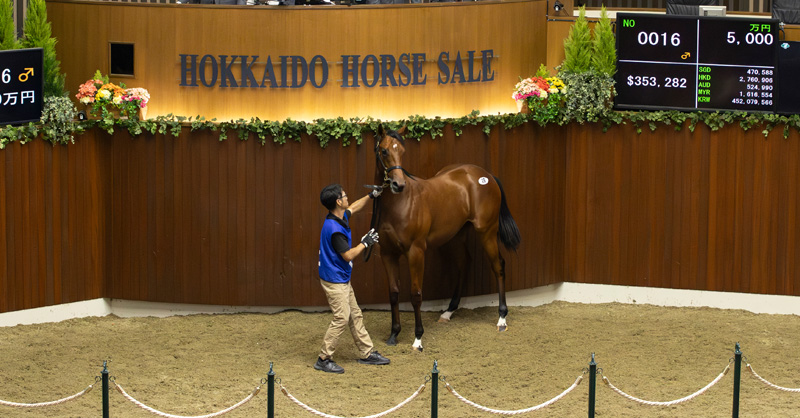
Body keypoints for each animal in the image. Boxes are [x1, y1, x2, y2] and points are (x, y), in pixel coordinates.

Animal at [372, 125, 521, 351]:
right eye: (384, 151)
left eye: (402, 151)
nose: (398, 184)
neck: (400, 204)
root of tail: (486, 174)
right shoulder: (388, 254)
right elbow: (394, 293)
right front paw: (394, 334)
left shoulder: (416, 252)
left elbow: (416, 295)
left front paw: (418, 338)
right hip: (456, 235)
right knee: (464, 263)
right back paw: (449, 312)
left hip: (487, 231)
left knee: (498, 265)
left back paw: (502, 318)